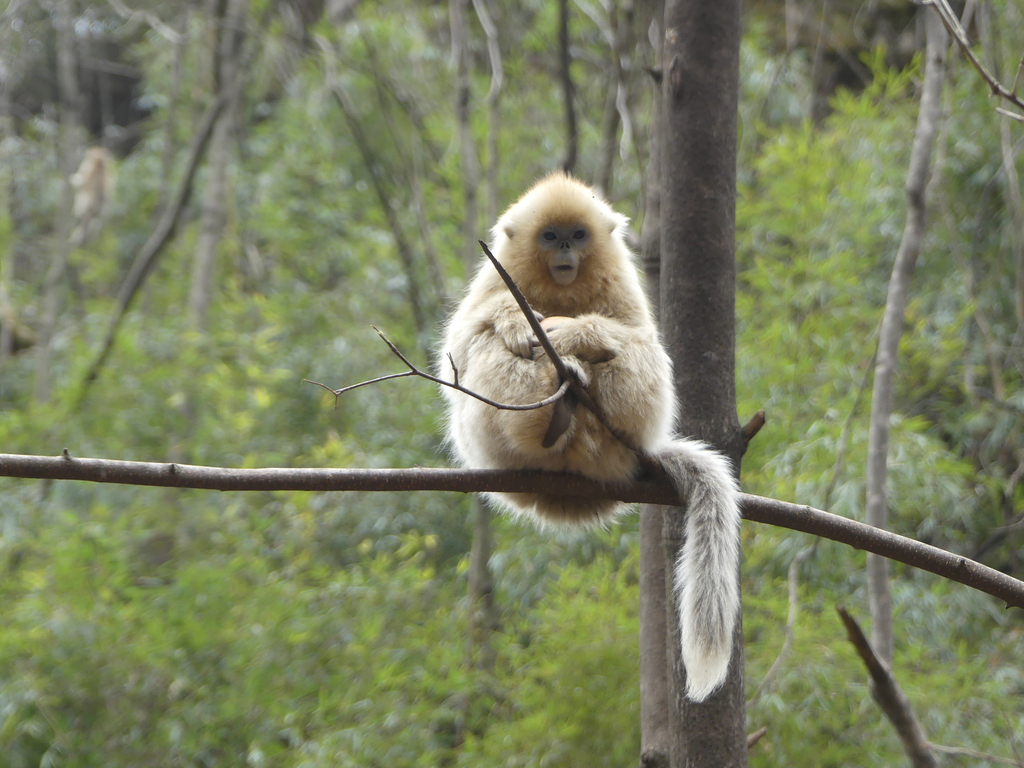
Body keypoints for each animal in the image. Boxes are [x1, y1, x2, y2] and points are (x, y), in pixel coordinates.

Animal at [439, 171, 741, 702]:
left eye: (577, 235)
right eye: (549, 236)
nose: (564, 248)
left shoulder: (619, 278)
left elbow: (646, 346)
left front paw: (571, 335)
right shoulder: (498, 275)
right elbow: (458, 346)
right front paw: (517, 319)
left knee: (636, 358)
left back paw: (573, 384)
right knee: (487, 342)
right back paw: (552, 410)